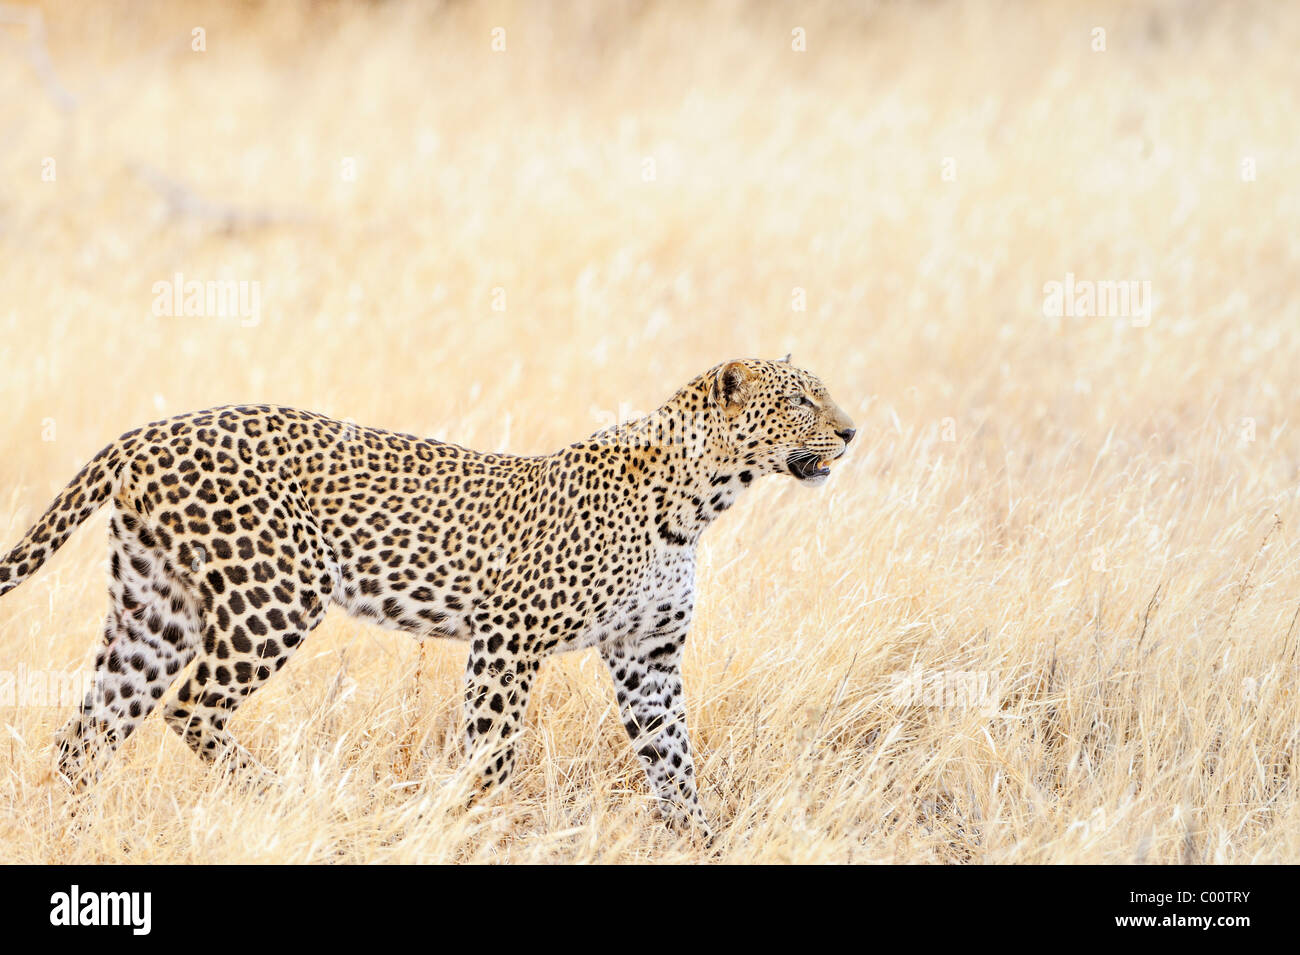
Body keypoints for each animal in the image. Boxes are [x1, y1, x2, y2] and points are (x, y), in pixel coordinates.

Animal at [0, 357, 854, 835]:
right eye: (802, 401)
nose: (852, 431)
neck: (702, 501)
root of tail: (151, 429)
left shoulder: (647, 658)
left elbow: (673, 761)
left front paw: (701, 840)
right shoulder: (508, 637)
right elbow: (491, 750)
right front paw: (471, 824)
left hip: (156, 608)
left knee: (87, 733)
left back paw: (78, 827)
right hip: (277, 593)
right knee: (190, 706)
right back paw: (283, 797)